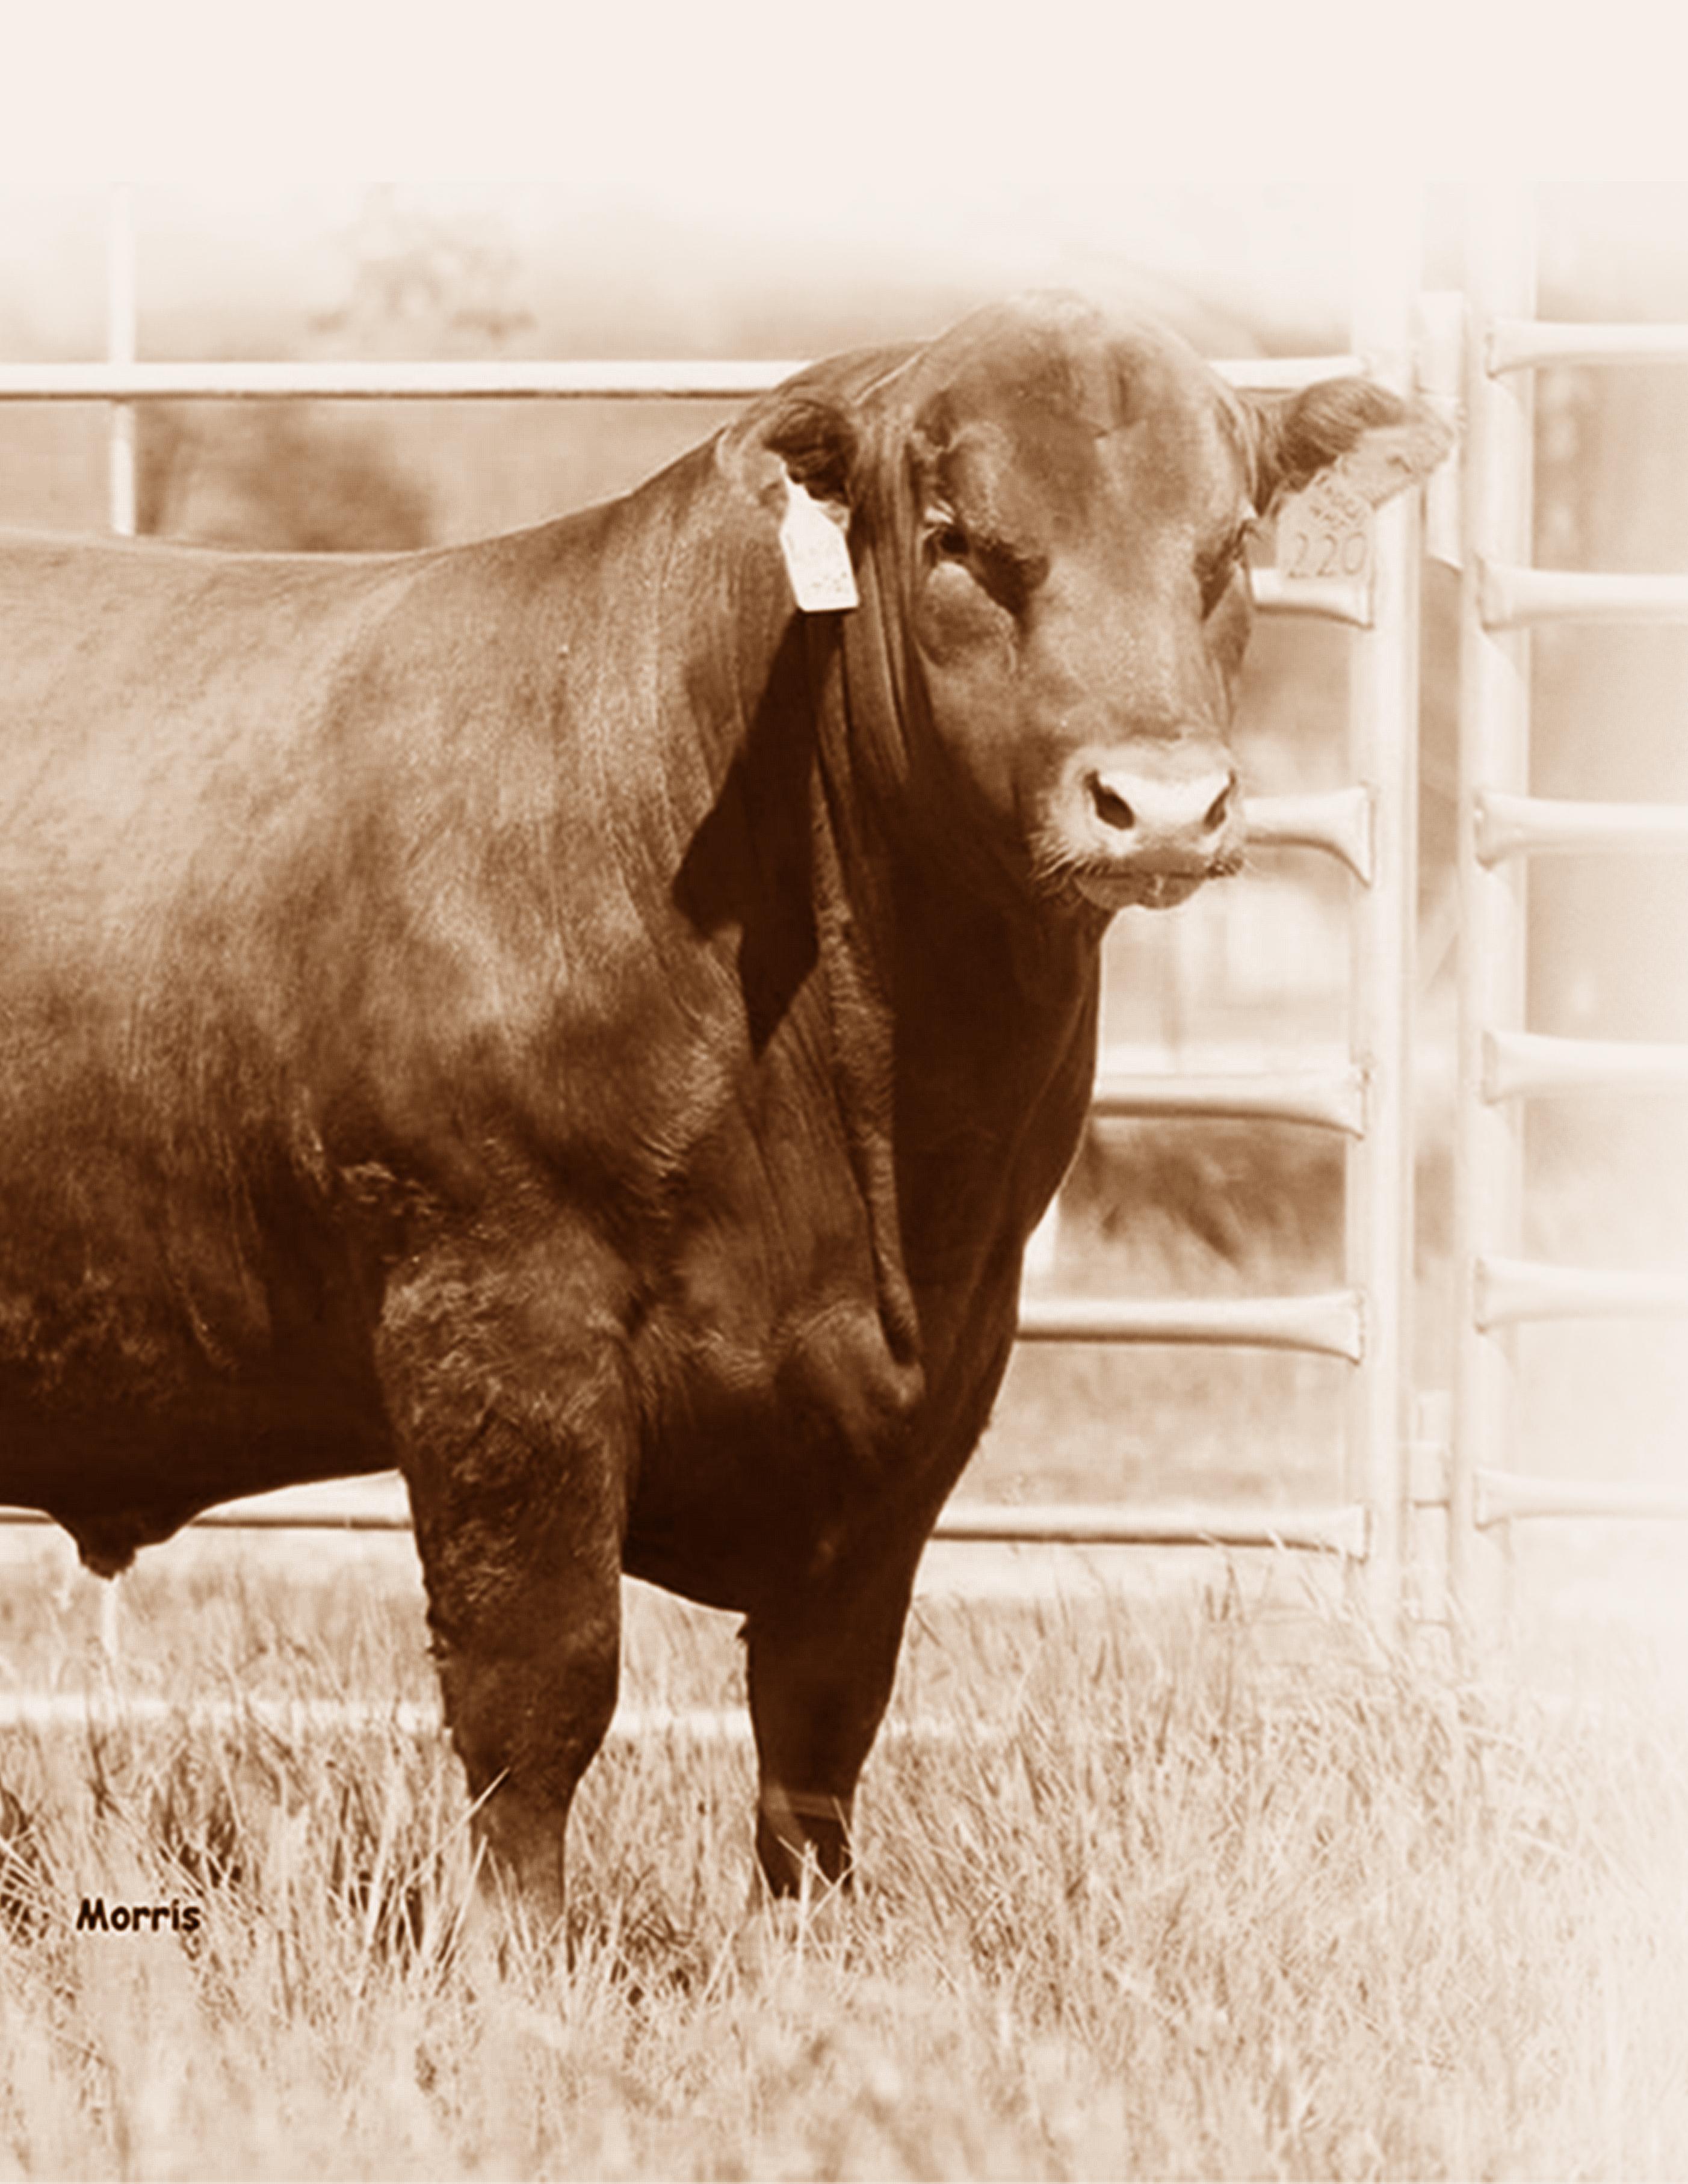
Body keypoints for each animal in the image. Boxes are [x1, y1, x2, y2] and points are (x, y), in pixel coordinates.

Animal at [0, 295, 1449, 1928]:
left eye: (1227, 542)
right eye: (954, 538)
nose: (1159, 800)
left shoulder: (939, 1374)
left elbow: (820, 1718)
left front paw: (807, 1951)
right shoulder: (497, 1321)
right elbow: (540, 1692)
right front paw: (520, 1954)